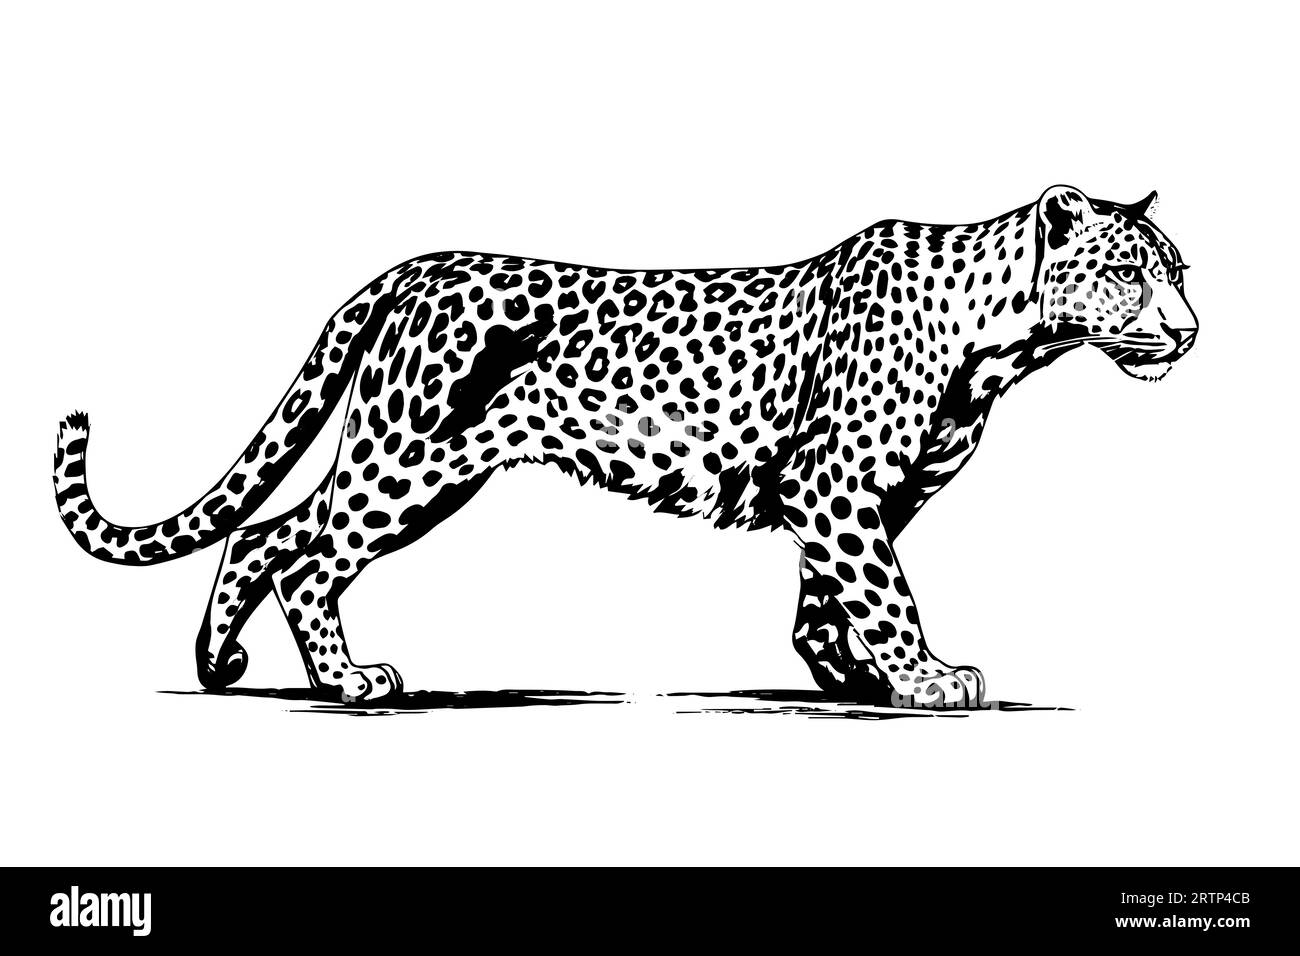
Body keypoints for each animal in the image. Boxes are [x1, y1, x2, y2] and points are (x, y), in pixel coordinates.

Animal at [53, 185, 1198, 708]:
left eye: (1179, 271)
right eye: (1129, 273)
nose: (1188, 332)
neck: (1002, 340)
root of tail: (406, 271)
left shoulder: (859, 498)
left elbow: (827, 598)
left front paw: (848, 673)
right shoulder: (834, 488)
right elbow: (888, 593)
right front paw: (927, 678)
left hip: (409, 465)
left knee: (265, 535)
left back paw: (219, 662)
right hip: (408, 460)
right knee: (301, 554)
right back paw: (349, 680)